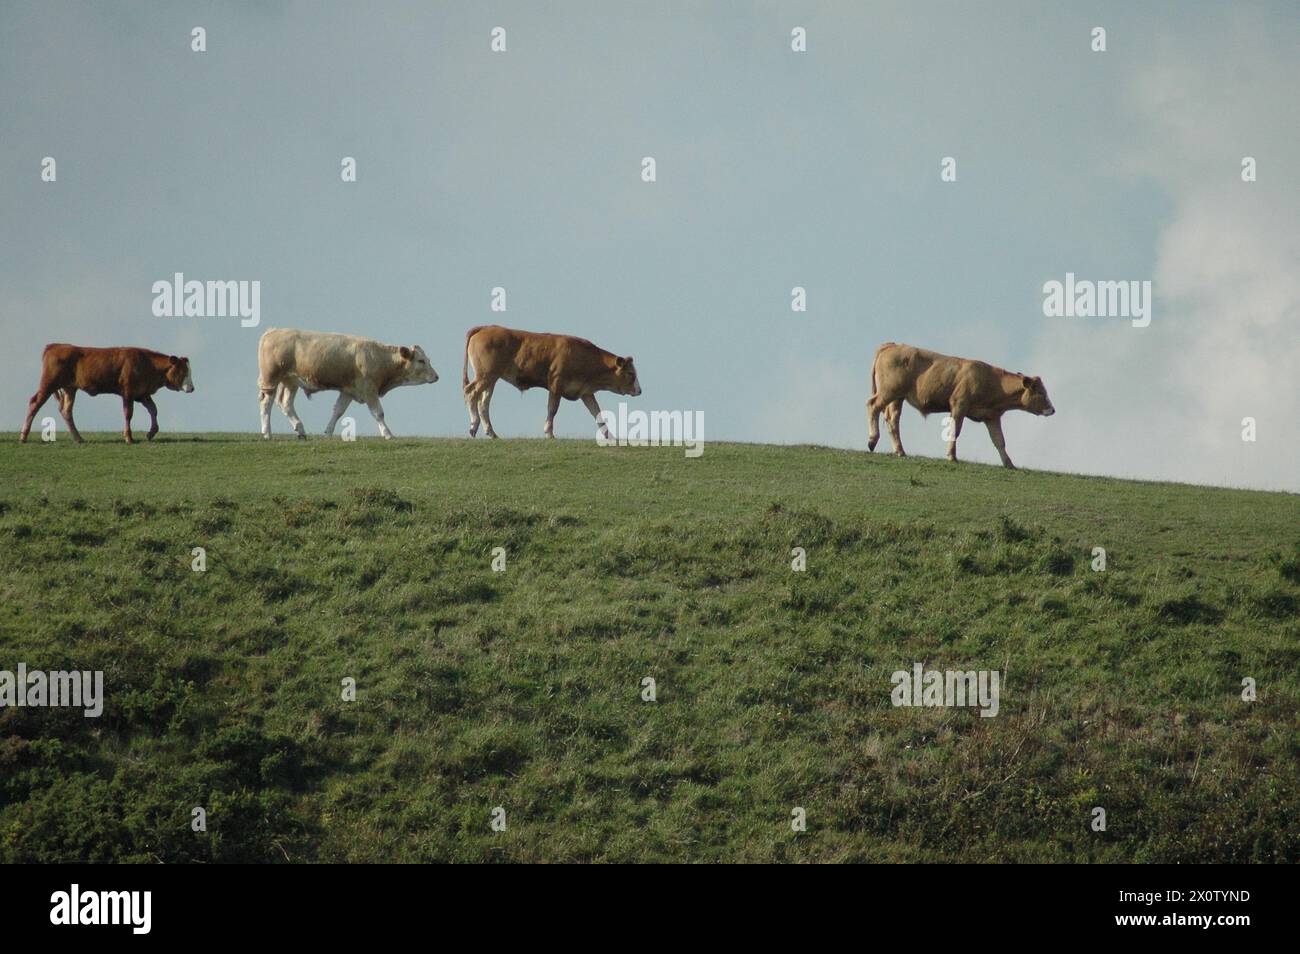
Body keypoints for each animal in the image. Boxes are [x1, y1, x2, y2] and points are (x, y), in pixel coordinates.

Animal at [19, 344, 194, 444]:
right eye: (183, 371)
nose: (192, 388)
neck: (148, 364)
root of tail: (55, 346)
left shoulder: (142, 393)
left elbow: (153, 409)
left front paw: (151, 432)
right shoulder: (128, 392)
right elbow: (128, 413)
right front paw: (128, 437)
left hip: (69, 388)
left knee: (66, 411)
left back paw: (79, 438)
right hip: (49, 384)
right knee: (35, 403)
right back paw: (23, 436)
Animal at [257, 328, 438, 440]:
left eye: (428, 359)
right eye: (421, 360)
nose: (436, 376)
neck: (378, 357)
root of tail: (272, 331)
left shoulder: (348, 391)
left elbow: (338, 411)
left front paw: (328, 433)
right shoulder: (369, 390)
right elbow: (378, 413)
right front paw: (388, 434)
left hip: (290, 381)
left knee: (285, 403)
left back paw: (300, 430)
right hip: (271, 378)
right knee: (267, 403)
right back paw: (267, 433)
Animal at [461, 325, 641, 439]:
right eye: (631, 373)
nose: (639, 390)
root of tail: (486, 327)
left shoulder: (586, 392)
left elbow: (596, 412)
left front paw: (609, 435)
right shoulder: (556, 384)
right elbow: (552, 409)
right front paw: (549, 433)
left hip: (491, 379)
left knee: (483, 403)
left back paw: (491, 432)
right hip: (485, 375)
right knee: (470, 393)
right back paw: (473, 426)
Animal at [866, 342, 1055, 469]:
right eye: (1040, 392)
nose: (1052, 410)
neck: (992, 381)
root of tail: (893, 345)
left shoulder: (992, 416)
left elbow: (999, 441)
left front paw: (1009, 463)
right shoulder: (959, 404)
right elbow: (954, 431)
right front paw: (951, 456)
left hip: (897, 398)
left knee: (893, 420)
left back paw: (900, 450)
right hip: (889, 391)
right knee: (872, 405)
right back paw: (872, 440)